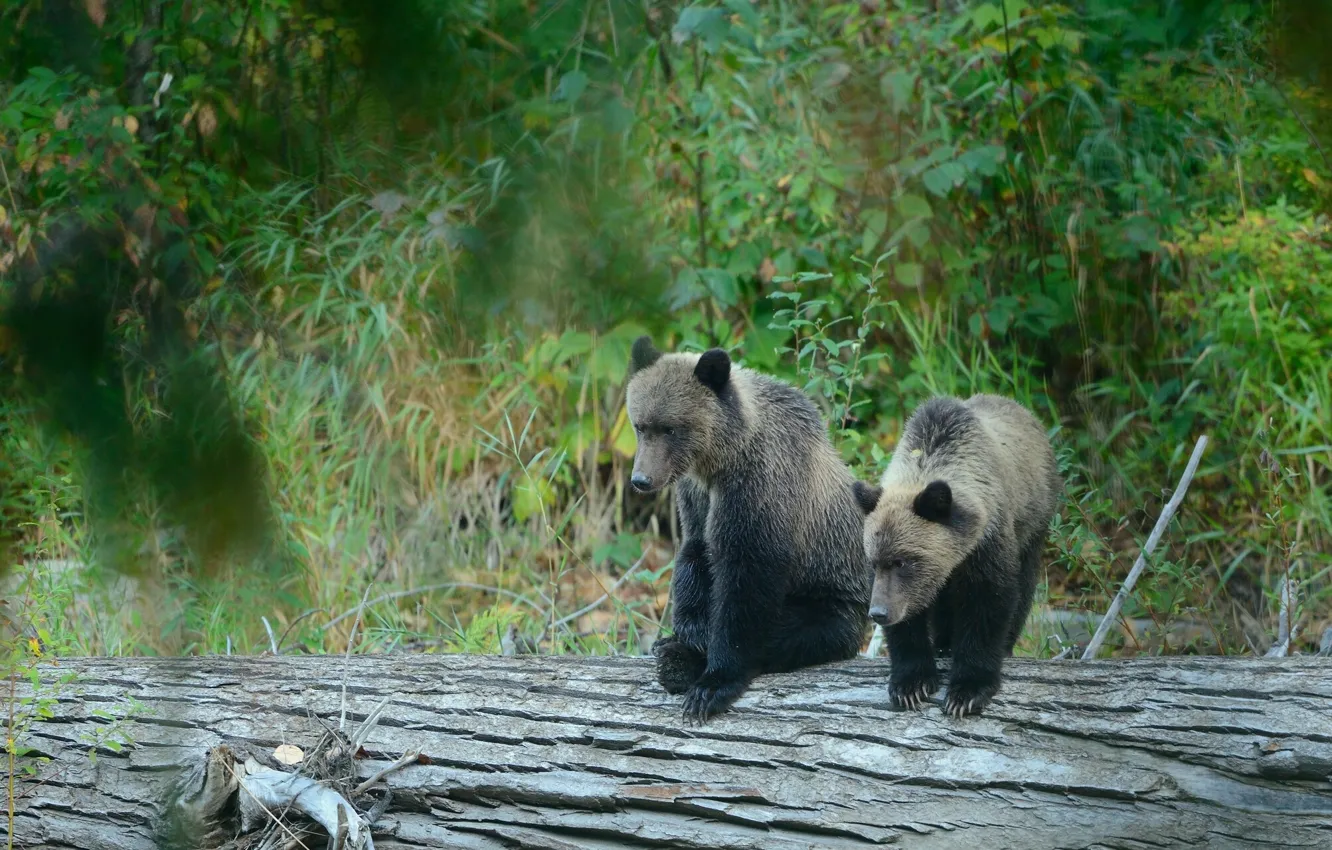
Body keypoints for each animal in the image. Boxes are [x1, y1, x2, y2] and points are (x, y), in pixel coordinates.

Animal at [625, 335, 871, 723]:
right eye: (640, 425)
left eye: (670, 428)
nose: (642, 480)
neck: (719, 458)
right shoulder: (696, 493)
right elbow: (696, 551)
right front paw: (687, 633)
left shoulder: (759, 484)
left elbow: (747, 576)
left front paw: (713, 684)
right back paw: (670, 651)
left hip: (833, 599)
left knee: (792, 631)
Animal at [852, 393, 1062, 718]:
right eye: (874, 562)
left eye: (902, 561)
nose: (879, 613)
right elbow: (911, 620)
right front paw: (910, 684)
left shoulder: (988, 544)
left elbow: (988, 604)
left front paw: (968, 690)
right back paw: (943, 643)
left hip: (1034, 521)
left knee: (1025, 584)